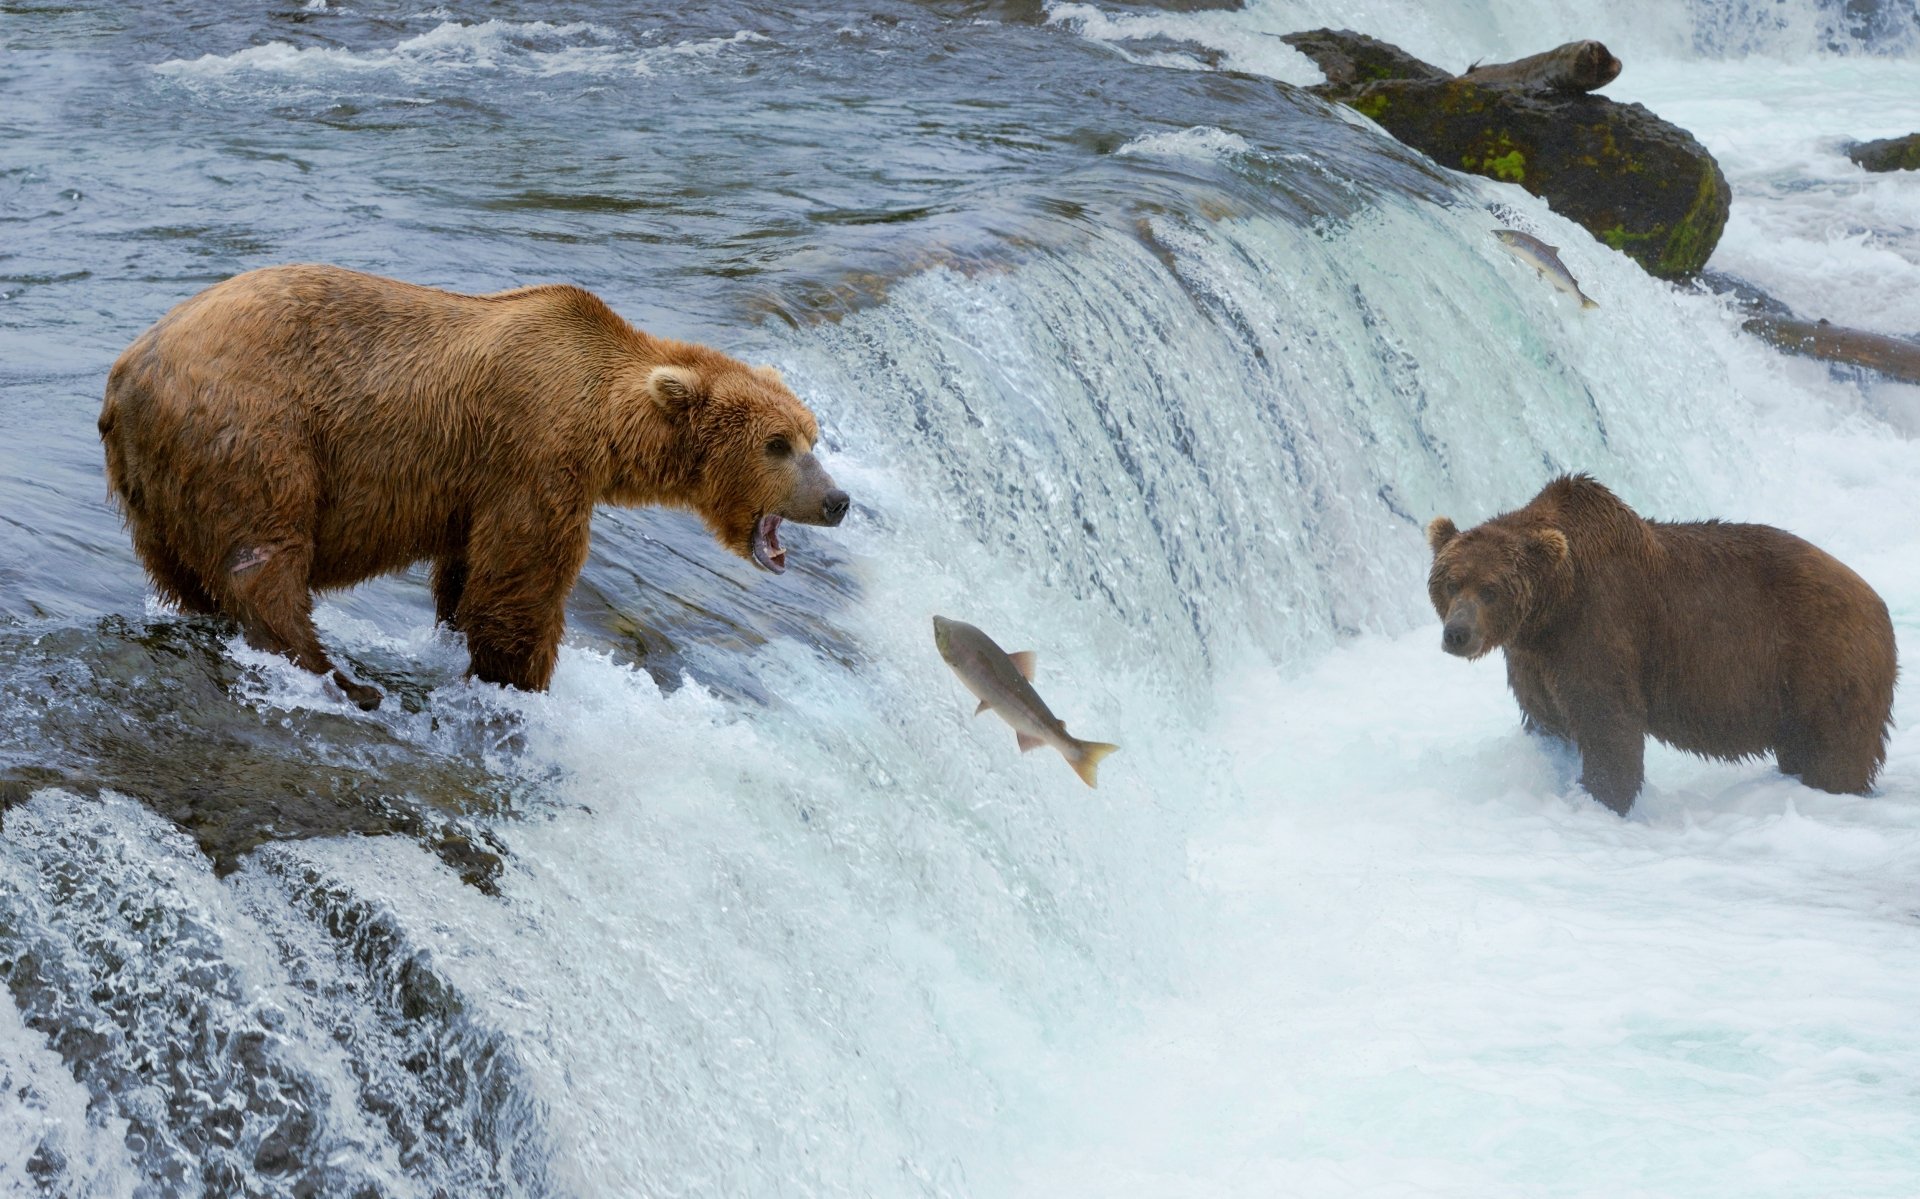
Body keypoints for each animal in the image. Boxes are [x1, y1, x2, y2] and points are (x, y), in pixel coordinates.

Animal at [98, 263, 850, 711]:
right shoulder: (535, 454)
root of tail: (127, 369)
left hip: (152, 484)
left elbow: (467, 575)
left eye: (813, 435)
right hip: (254, 432)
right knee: (265, 559)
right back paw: (340, 677)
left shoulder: (479, 483)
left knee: (183, 570)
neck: (604, 422)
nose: (837, 500)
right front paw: (521, 677)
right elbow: (522, 582)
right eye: (777, 444)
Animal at [1426, 474, 1896, 814]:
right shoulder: (1533, 656)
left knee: (1835, 753)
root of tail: (1876, 602)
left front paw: (1602, 799)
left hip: (1824, 664)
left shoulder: (1599, 626)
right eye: (1451, 582)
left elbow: (1608, 723)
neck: (1551, 608)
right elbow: (1546, 717)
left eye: (1490, 589)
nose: (1457, 634)